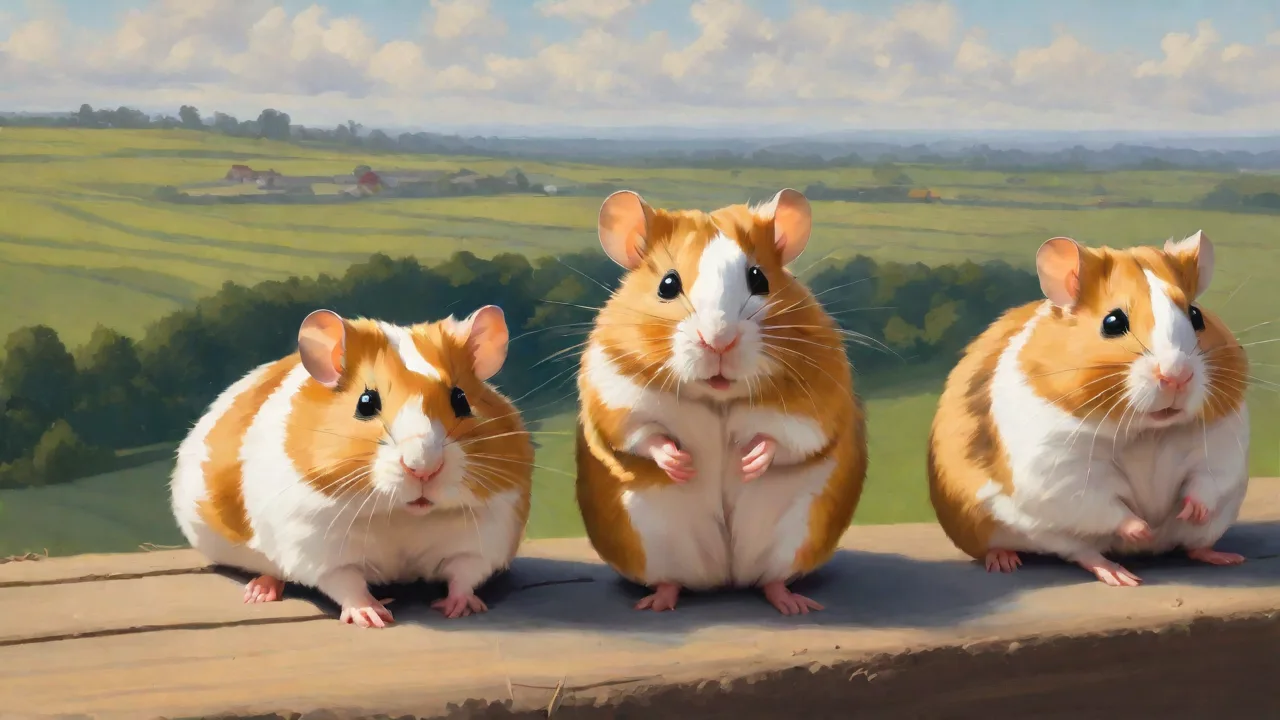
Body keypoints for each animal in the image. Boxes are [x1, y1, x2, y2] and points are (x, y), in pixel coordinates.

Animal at [170, 305, 533, 627]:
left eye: (461, 400)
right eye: (366, 403)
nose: (423, 468)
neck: (400, 515)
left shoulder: (486, 535)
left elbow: (464, 574)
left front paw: (459, 609)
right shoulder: (318, 547)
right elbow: (347, 585)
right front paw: (375, 617)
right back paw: (259, 593)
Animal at [575, 188, 868, 615]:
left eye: (759, 279)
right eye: (667, 284)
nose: (719, 341)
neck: (717, 397)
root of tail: (725, 578)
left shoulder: (818, 400)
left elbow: (787, 438)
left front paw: (748, 462)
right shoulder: (614, 392)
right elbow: (645, 436)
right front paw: (681, 464)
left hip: (796, 537)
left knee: (771, 580)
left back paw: (794, 604)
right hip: (654, 542)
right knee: (672, 580)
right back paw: (655, 603)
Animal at [928, 231, 1250, 587]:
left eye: (1196, 316)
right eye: (1113, 322)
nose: (1177, 376)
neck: (1147, 431)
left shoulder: (1220, 445)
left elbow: (1205, 482)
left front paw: (1187, 513)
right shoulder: (1064, 466)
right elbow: (1105, 504)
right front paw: (1144, 530)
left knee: (1194, 545)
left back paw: (1225, 557)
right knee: (1083, 553)